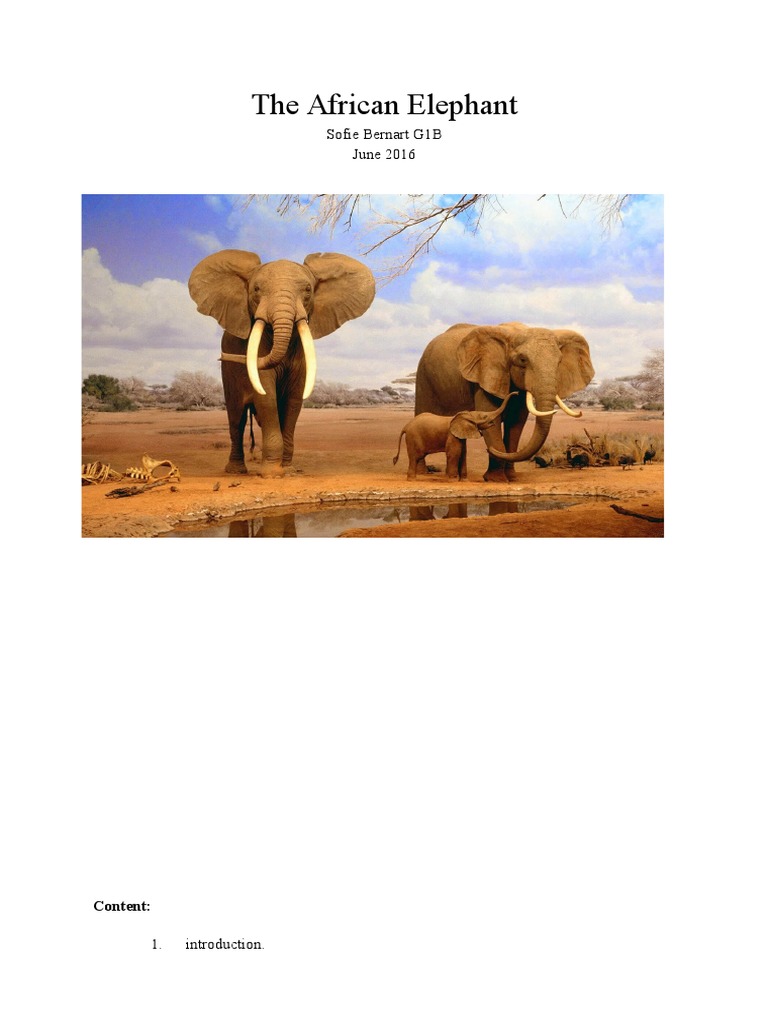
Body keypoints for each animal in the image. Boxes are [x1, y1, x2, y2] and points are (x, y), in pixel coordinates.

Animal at [188, 249, 375, 476]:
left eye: (308, 289)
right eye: (256, 289)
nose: (220, 356)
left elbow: (294, 400)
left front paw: (289, 470)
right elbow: (266, 396)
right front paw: (272, 474)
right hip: (228, 373)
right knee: (236, 417)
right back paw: (236, 471)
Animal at [414, 322, 594, 482]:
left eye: (559, 361)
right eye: (522, 360)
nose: (488, 449)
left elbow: (516, 423)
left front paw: (512, 478)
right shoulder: (486, 375)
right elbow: (492, 418)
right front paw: (497, 480)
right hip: (424, 377)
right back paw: (422, 473)